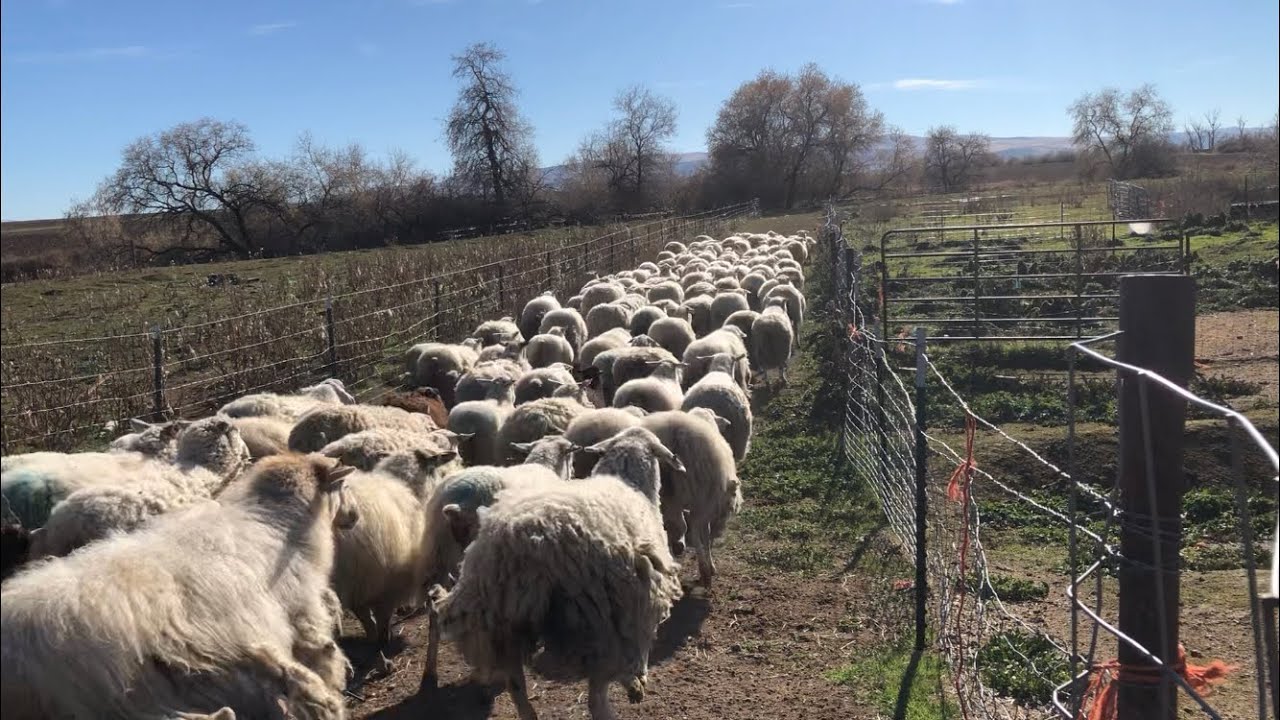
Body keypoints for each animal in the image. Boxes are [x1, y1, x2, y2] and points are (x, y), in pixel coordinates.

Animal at [433, 426, 684, 720]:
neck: (629, 482)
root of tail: (523, 544)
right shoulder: (639, 605)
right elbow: (639, 650)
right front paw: (636, 682)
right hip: (595, 623)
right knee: (596, 699)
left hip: (499, 624)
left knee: (516, 688)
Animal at [640, 410, 742, 588]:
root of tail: (676, 438)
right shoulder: (705, 503)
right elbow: (704, 534)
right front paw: (710, 567)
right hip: (698, 497)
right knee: (693, 529)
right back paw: (704, 572)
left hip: (665, 497)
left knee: (674, 527)